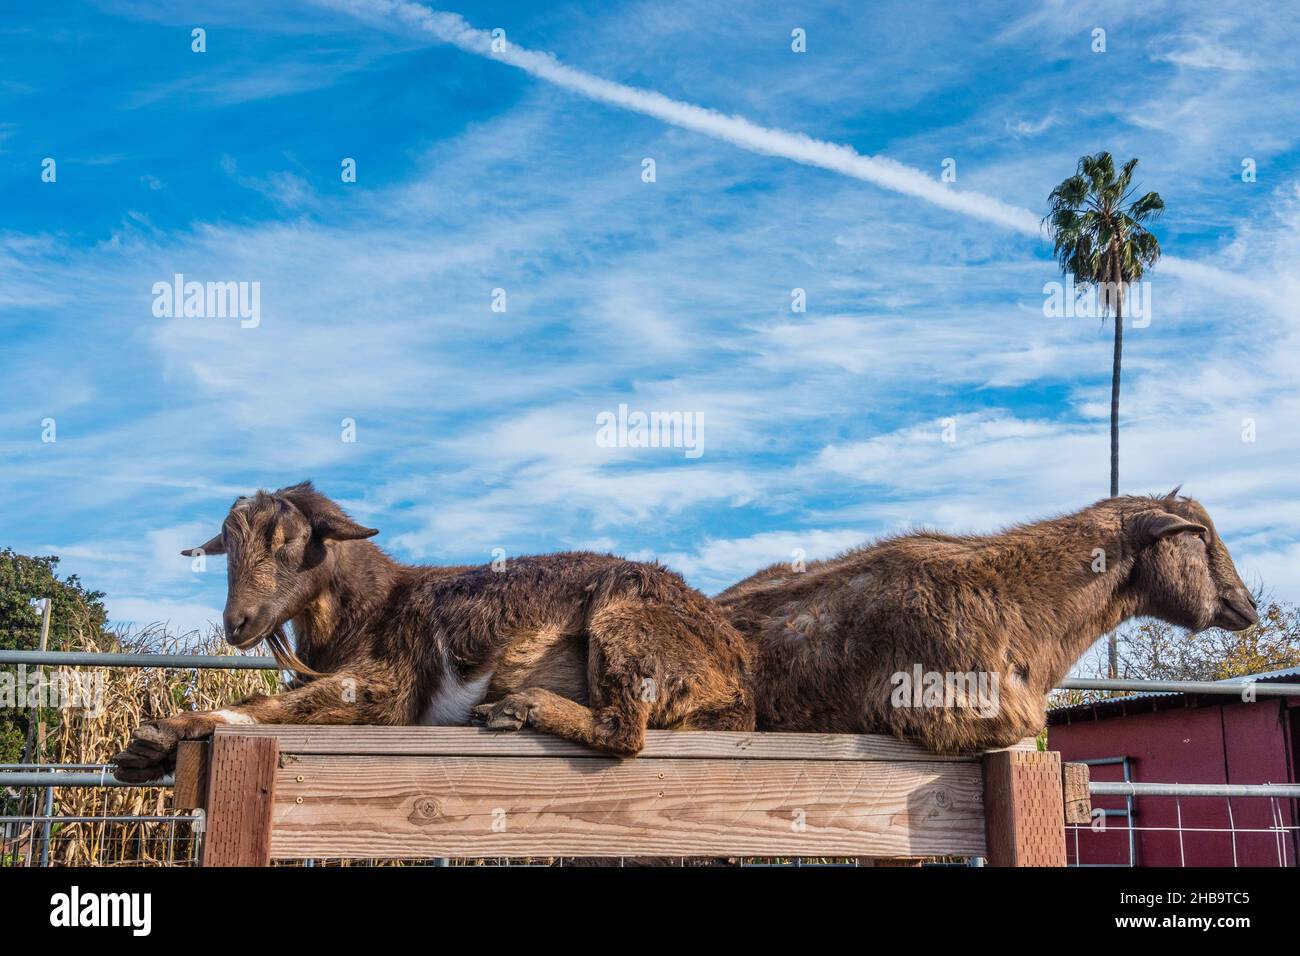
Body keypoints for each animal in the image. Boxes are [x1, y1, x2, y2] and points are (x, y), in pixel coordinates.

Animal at [113, 482, 754, 780]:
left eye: (289, 541)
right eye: (226, 548)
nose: (237, 623)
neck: (374, 605)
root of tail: (737, 679)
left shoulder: (387, 687)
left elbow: (270, 705)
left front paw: (169, 729)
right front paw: (143, 755)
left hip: (623, 620)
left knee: (624, 730)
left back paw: (518, 706)